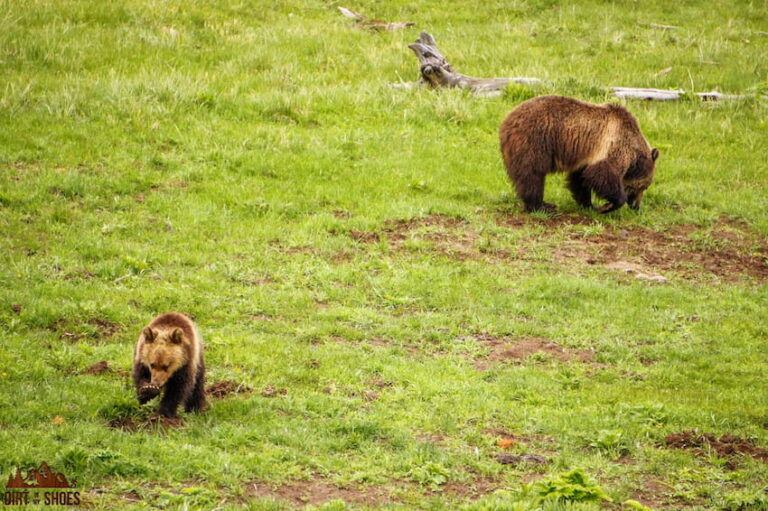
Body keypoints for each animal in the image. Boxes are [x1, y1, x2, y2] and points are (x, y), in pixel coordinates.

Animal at [499, 95, 659, 213]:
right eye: (644, 187)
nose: (636, 206)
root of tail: (506, 122)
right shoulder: (614, 144)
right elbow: (603, 174)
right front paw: (608, 205)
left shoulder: (587, 157)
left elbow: (581, 178)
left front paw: (589, 204)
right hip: (535, 141)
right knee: (532, 174)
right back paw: (542, 206)